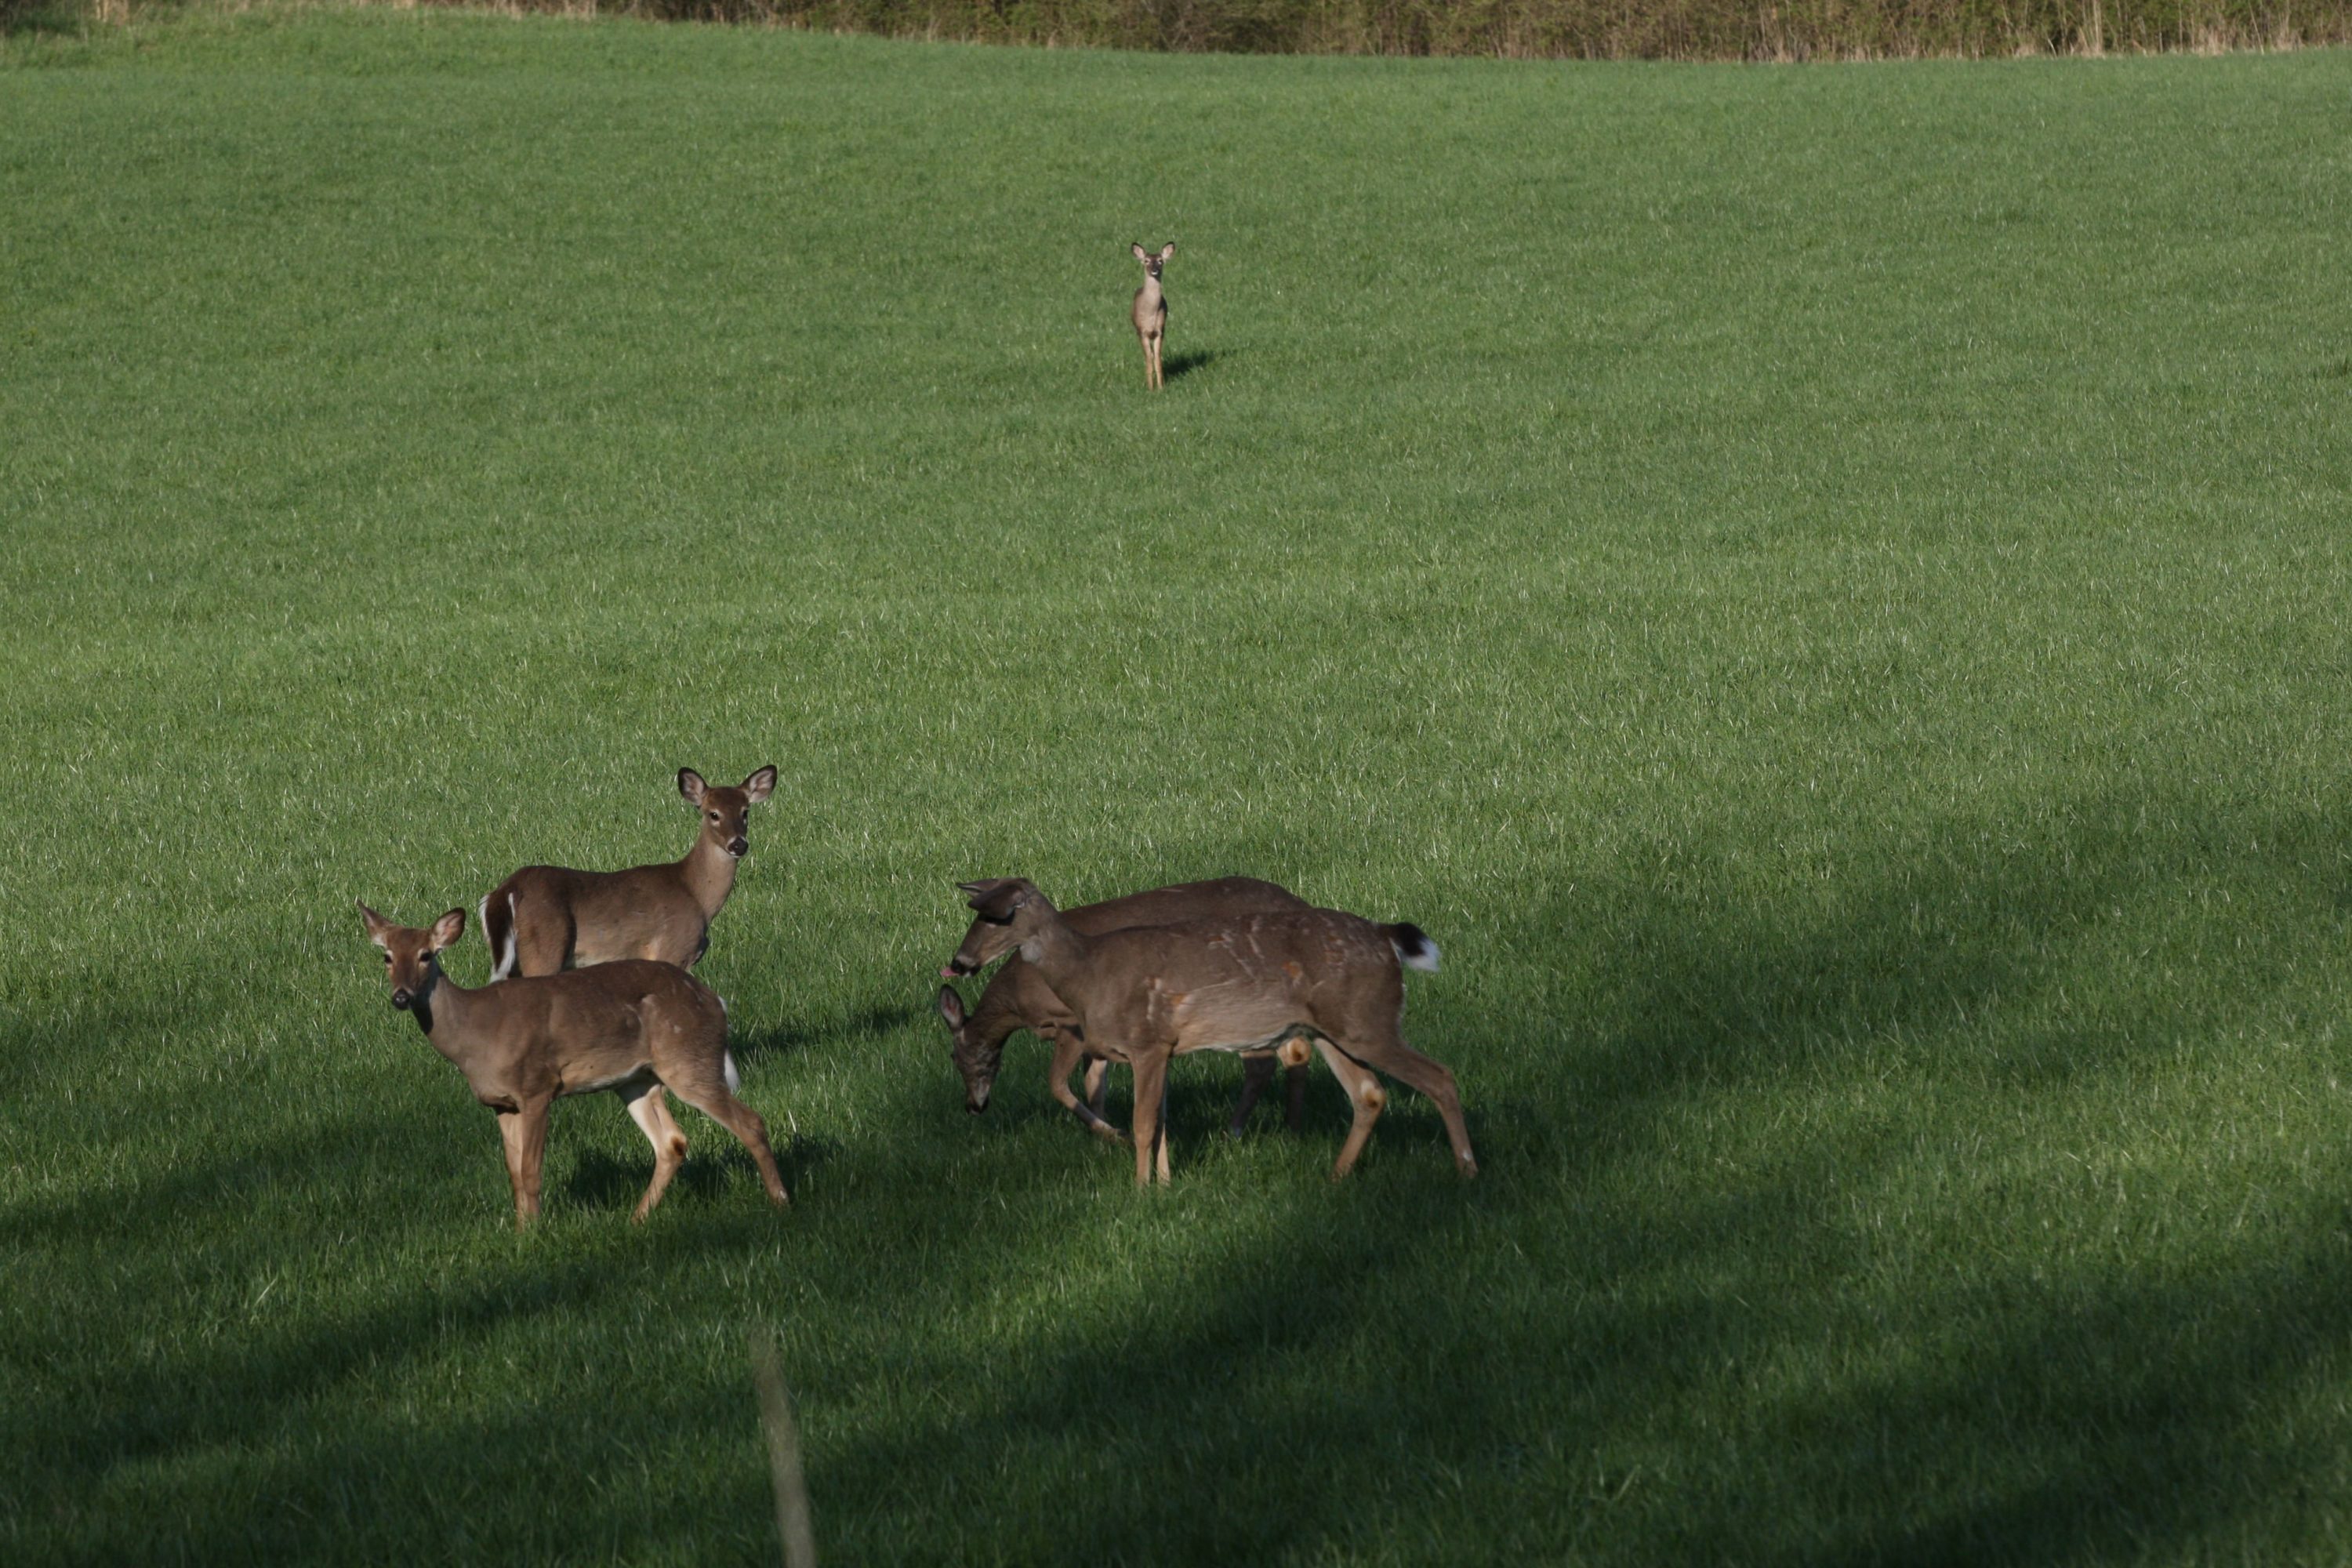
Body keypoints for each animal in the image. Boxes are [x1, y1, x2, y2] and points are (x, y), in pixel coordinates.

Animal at [358, 901, 789, 1227]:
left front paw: (534, 1233)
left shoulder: (537, 1086)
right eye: (387, 957)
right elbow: (514, 1174)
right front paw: (521, 1231)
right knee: (672, 1142)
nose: (401, 996)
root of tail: (717, 1002)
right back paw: (636, 1219)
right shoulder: (501, 1103)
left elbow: (531, 1171)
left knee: (750, 1122)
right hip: (637, 1079)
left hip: (690, 1060)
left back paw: (780, 1201)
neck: (475, 1036)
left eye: (426, 955)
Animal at [481, 765, 776, 981]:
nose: (738, 844)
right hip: (545, 945)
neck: (696, 893)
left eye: (745, 812)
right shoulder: (673, 947)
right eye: (713, 814)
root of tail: (506, 890)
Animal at [935, 877, 1313, 1137]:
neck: (1017, 1000)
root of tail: (1301, 905)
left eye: (954, 1056)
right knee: (1293, 1052)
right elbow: (1094, 1085)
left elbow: (1058, 1084)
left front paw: (1114, 1134)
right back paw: (1292, 1128)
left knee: (1267, 1062)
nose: (973, 1106)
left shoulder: (1071, 1022)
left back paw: (1235, 1131)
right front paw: (1102, 1138)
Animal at [1130, 241, 1174, 390]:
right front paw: (1150, 389)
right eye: (1146, 261)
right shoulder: (1141, 332)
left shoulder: (1160, 330)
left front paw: (1161, 387)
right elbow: (1149, 359)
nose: (1154, 269)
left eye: (1160, 261)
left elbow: (1157, 358)